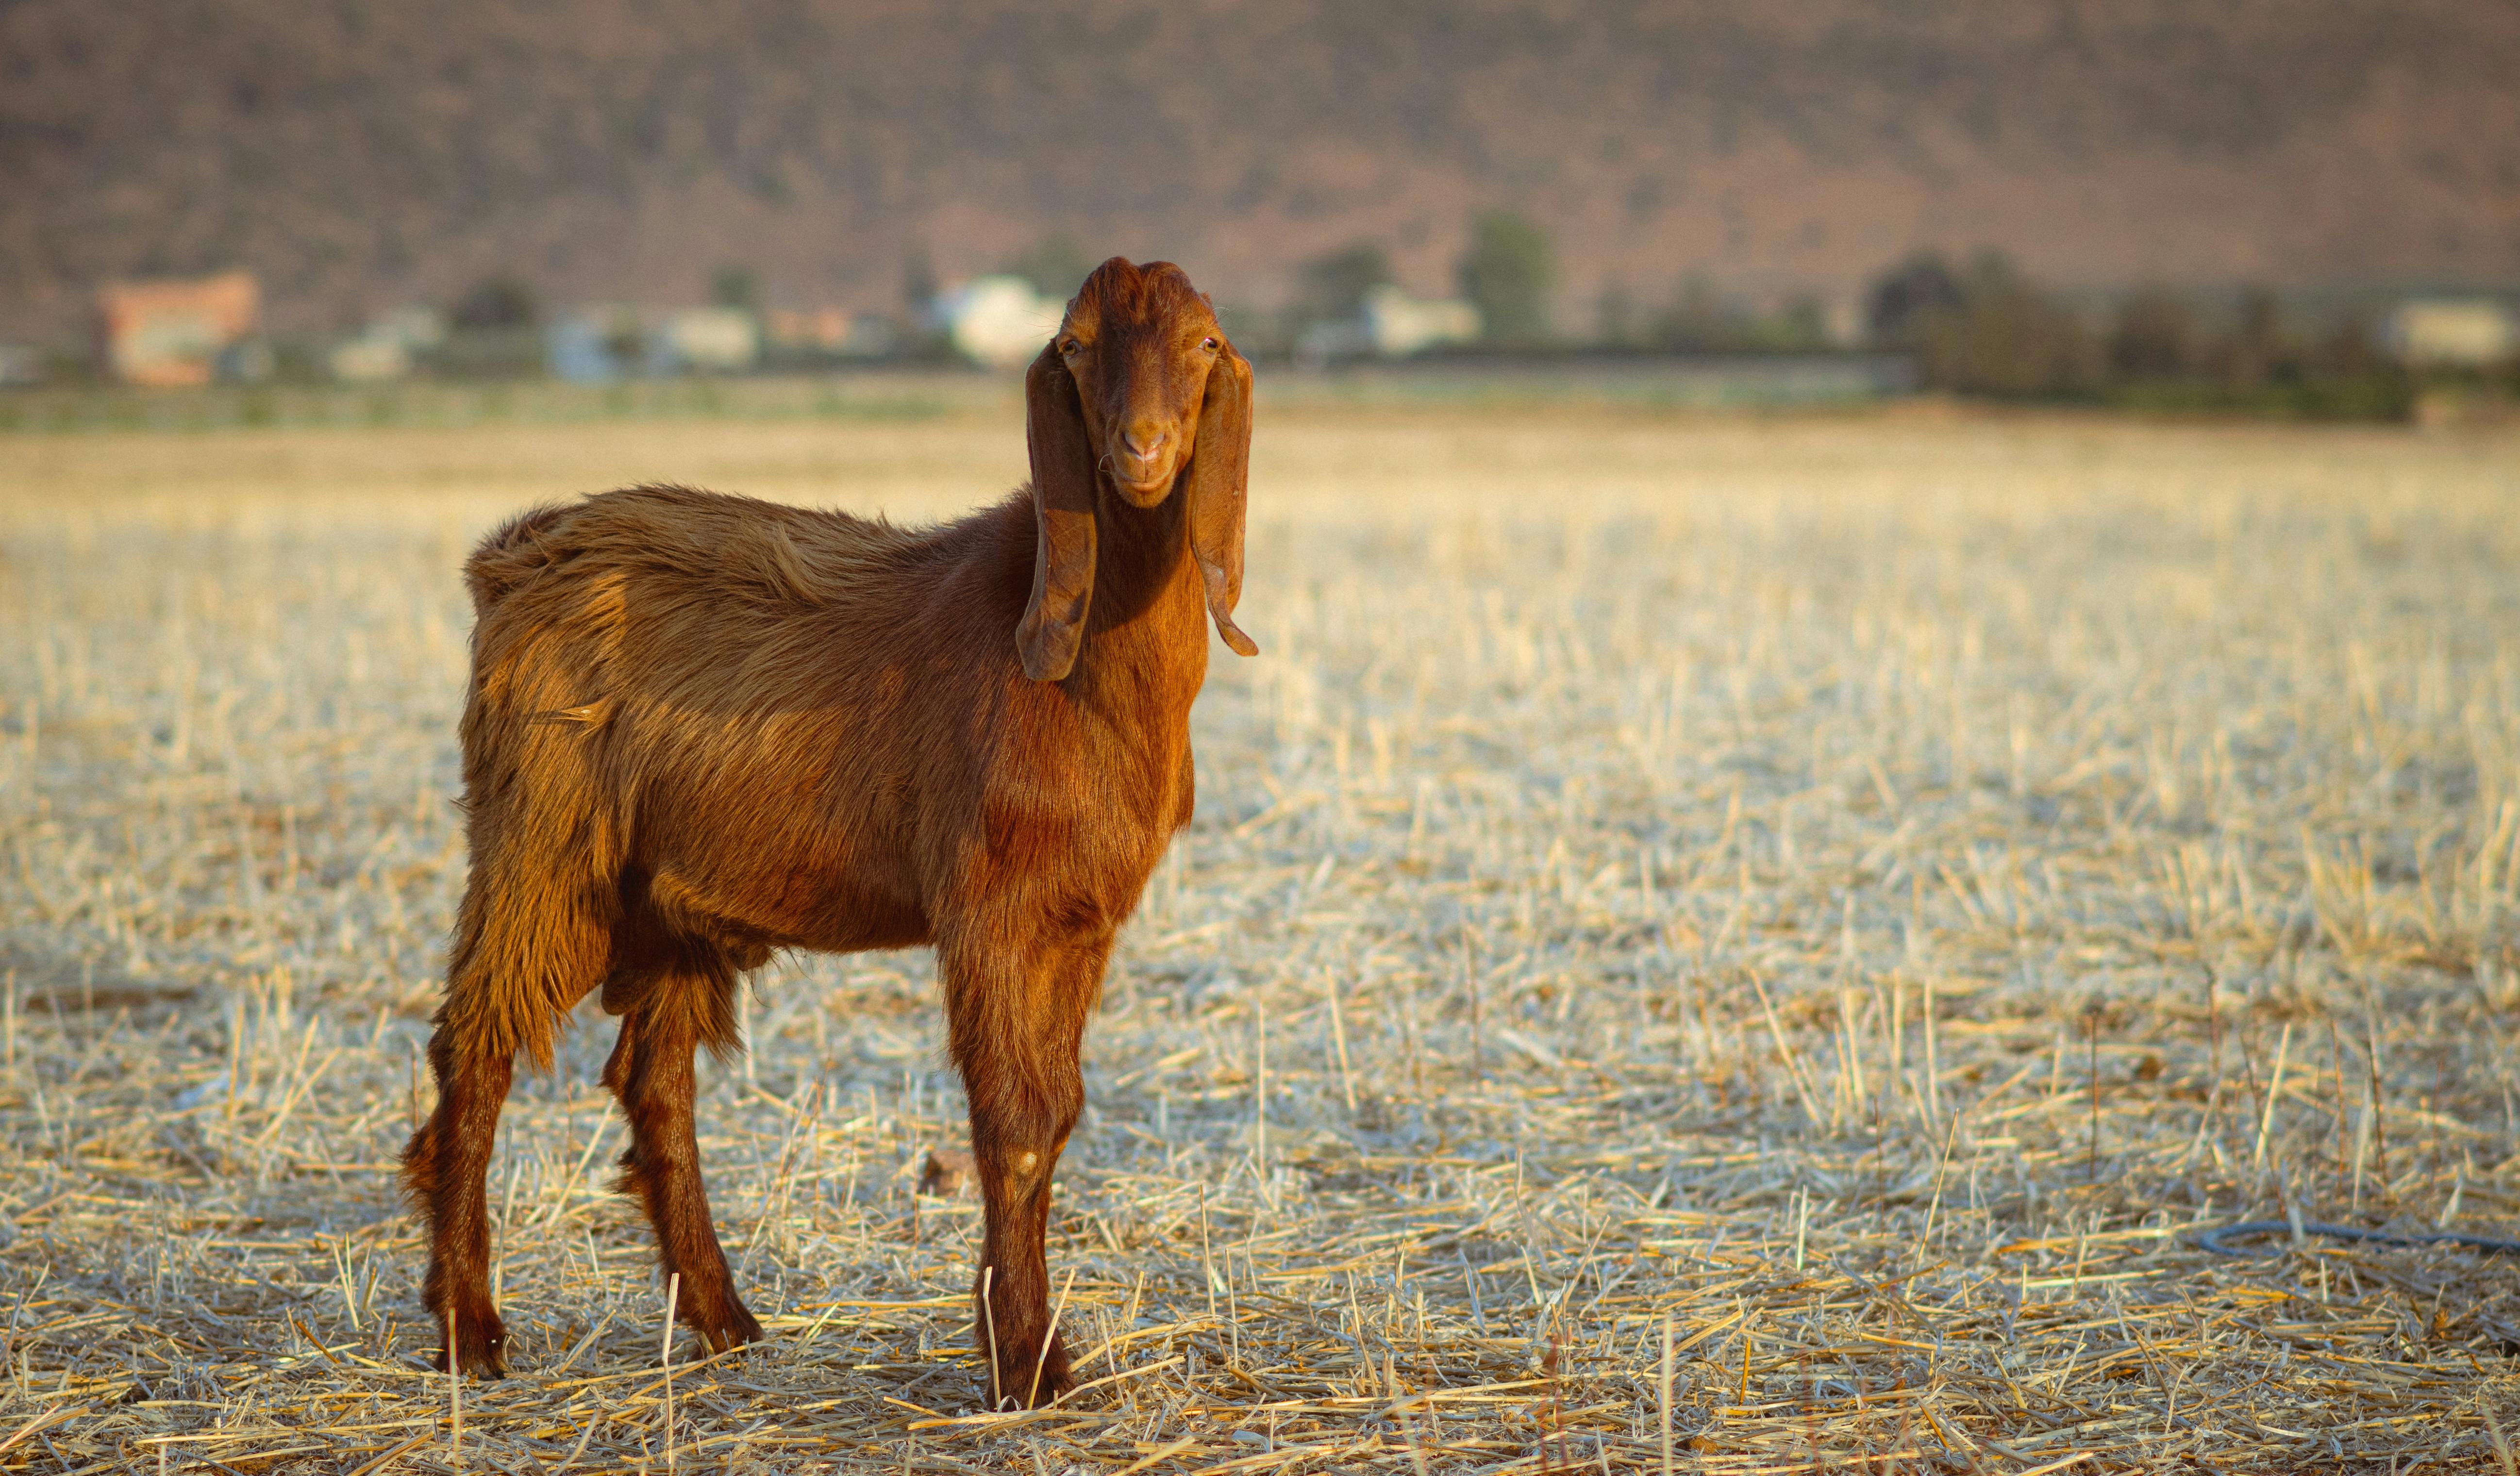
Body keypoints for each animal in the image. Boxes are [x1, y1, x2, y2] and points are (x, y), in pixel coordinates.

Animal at [400, 258, 1256, 1408]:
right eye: (1075, 347)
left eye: (1205, 343)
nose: (1143, 451)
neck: (1066, 664)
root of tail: (509, 562)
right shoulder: (991, 907)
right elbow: (1013, 1124)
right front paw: (1023, 1361)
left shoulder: (1082, 920)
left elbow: (1057, 1114)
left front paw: (1032, 1348)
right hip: (545, 843)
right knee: (478, 1041)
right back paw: (471, 1329)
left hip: (667, 898)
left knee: (652, 1081)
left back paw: (722, 1318)